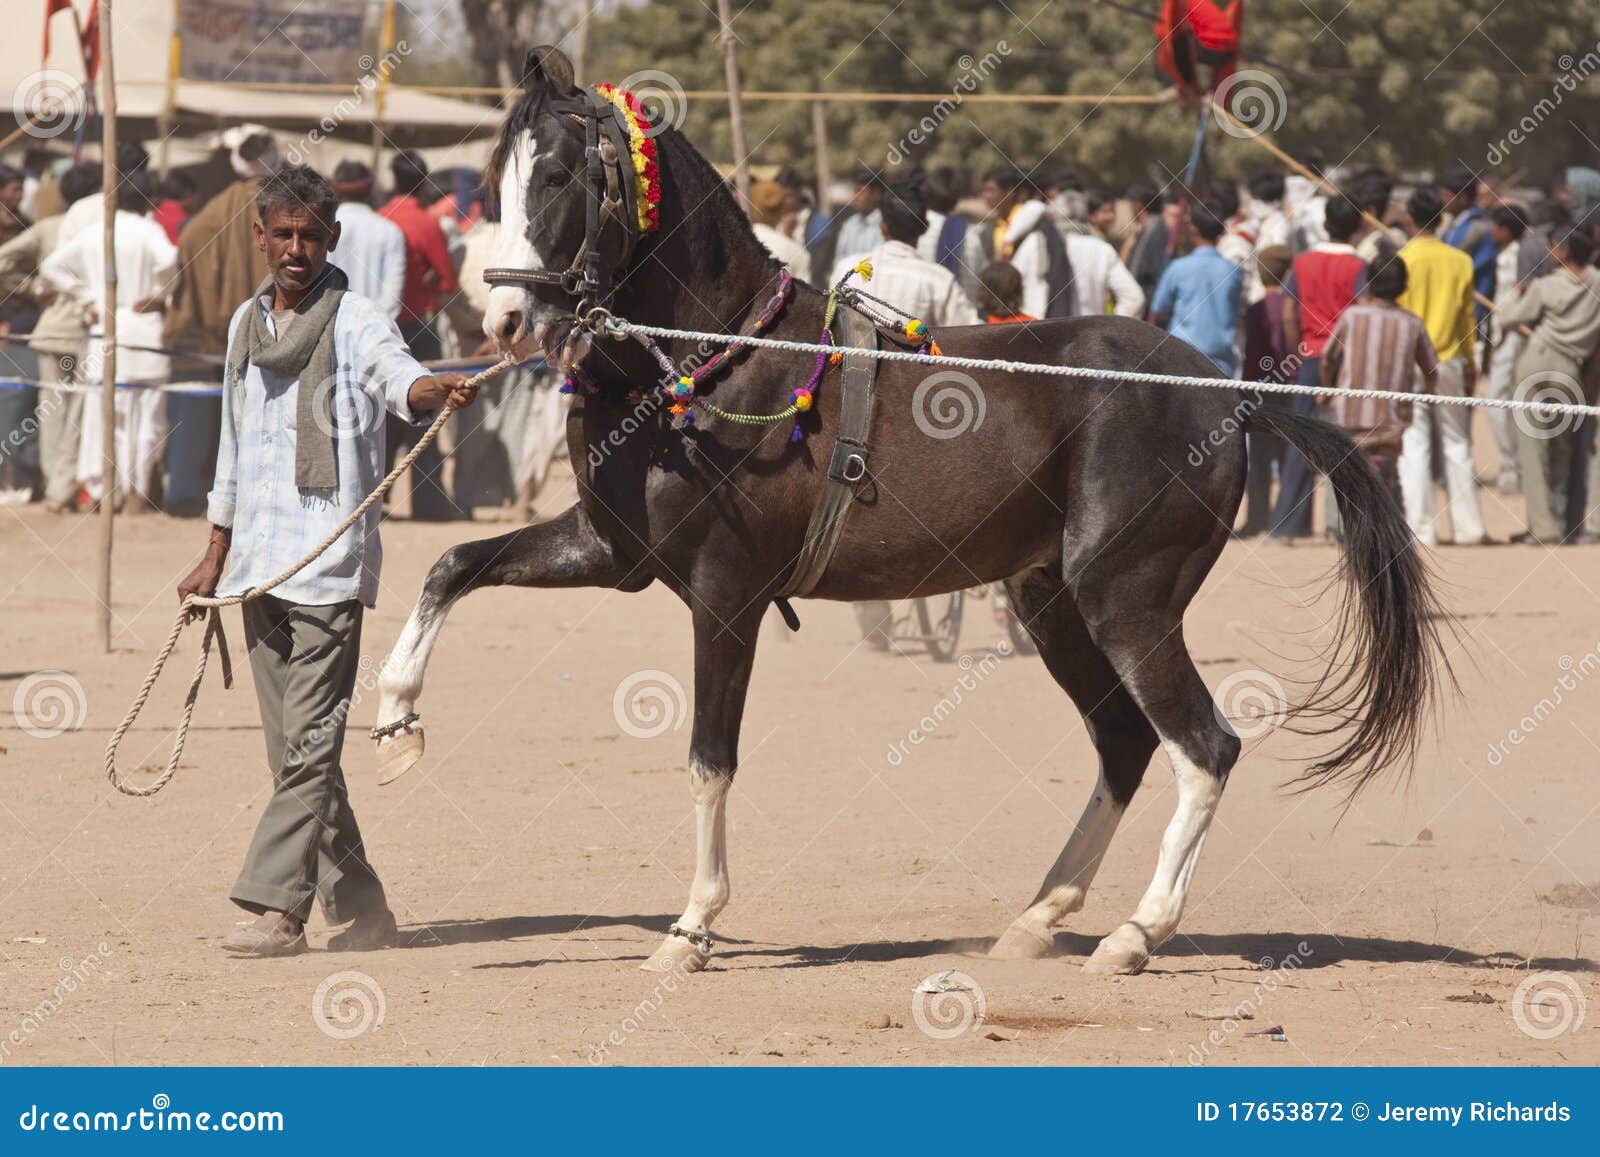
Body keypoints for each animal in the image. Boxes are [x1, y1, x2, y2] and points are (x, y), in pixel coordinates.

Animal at [371, 45, 1446, 976]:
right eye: (495, 183)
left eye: (558, 175)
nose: (505, 319)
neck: (719, 356)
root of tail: (1226, 392)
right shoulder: (611, 550)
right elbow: (452, 568)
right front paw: (396, 712)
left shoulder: (724, 593)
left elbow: (708, 760)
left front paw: (692, 925)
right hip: (1052, 600)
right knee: (1126, 743)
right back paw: (1041, 915)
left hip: (1128, 601)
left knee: (1204, 748)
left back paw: (1136, 932)